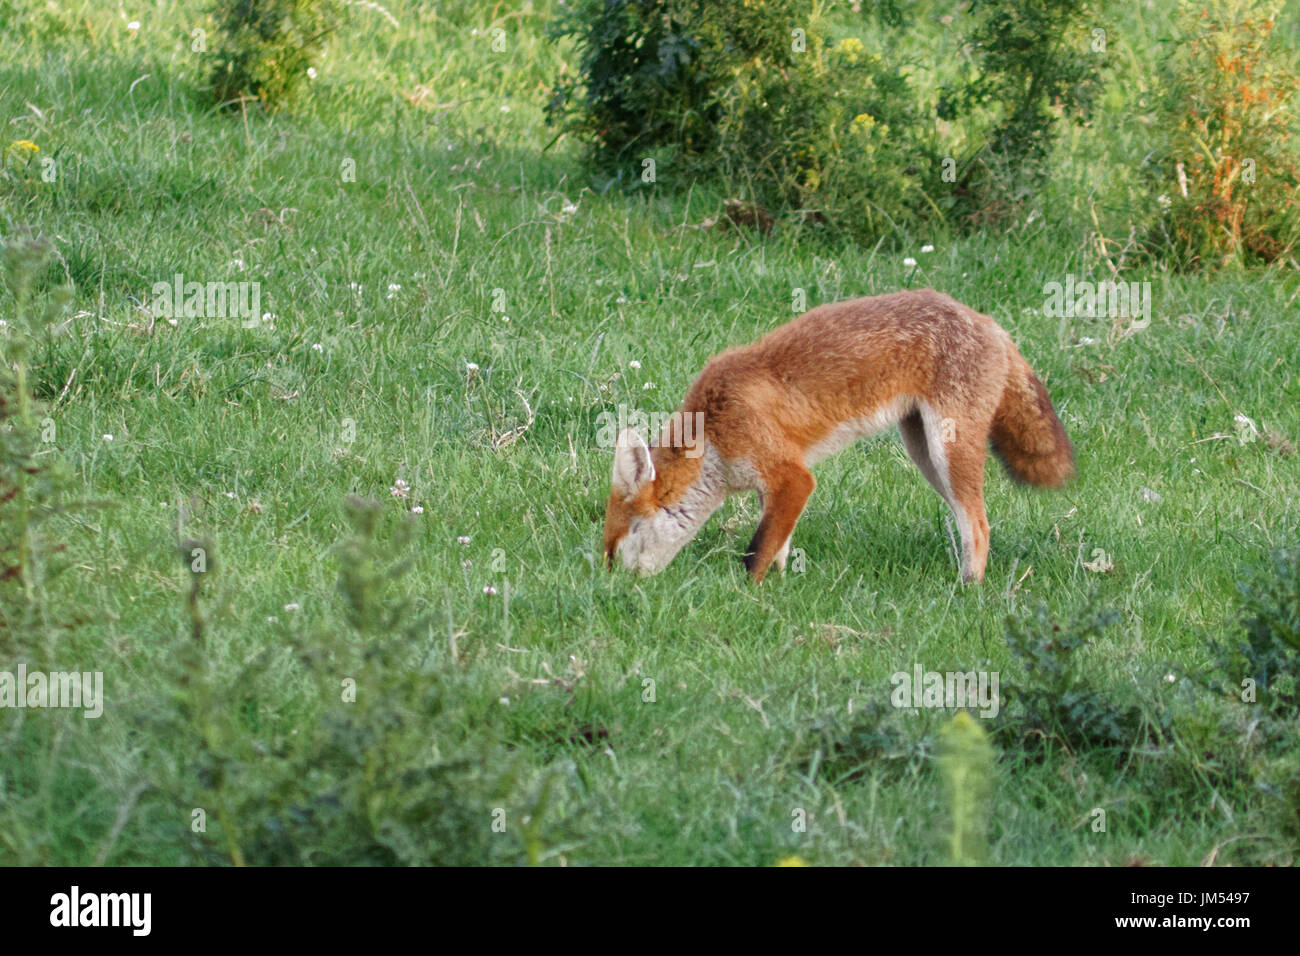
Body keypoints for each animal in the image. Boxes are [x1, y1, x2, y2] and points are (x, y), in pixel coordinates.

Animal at [602, 288, 1074, 584]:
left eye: (626, 538)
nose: (611, 587)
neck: (713, 431)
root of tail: (989, 322)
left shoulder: (792, 476)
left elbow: (756, 552)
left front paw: (746, 594)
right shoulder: (775, 487)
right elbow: (778, 545)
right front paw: (780, 586)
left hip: (948, 451)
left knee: (979, 525)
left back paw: (968, 590)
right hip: (923, 450)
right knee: (968, 520)